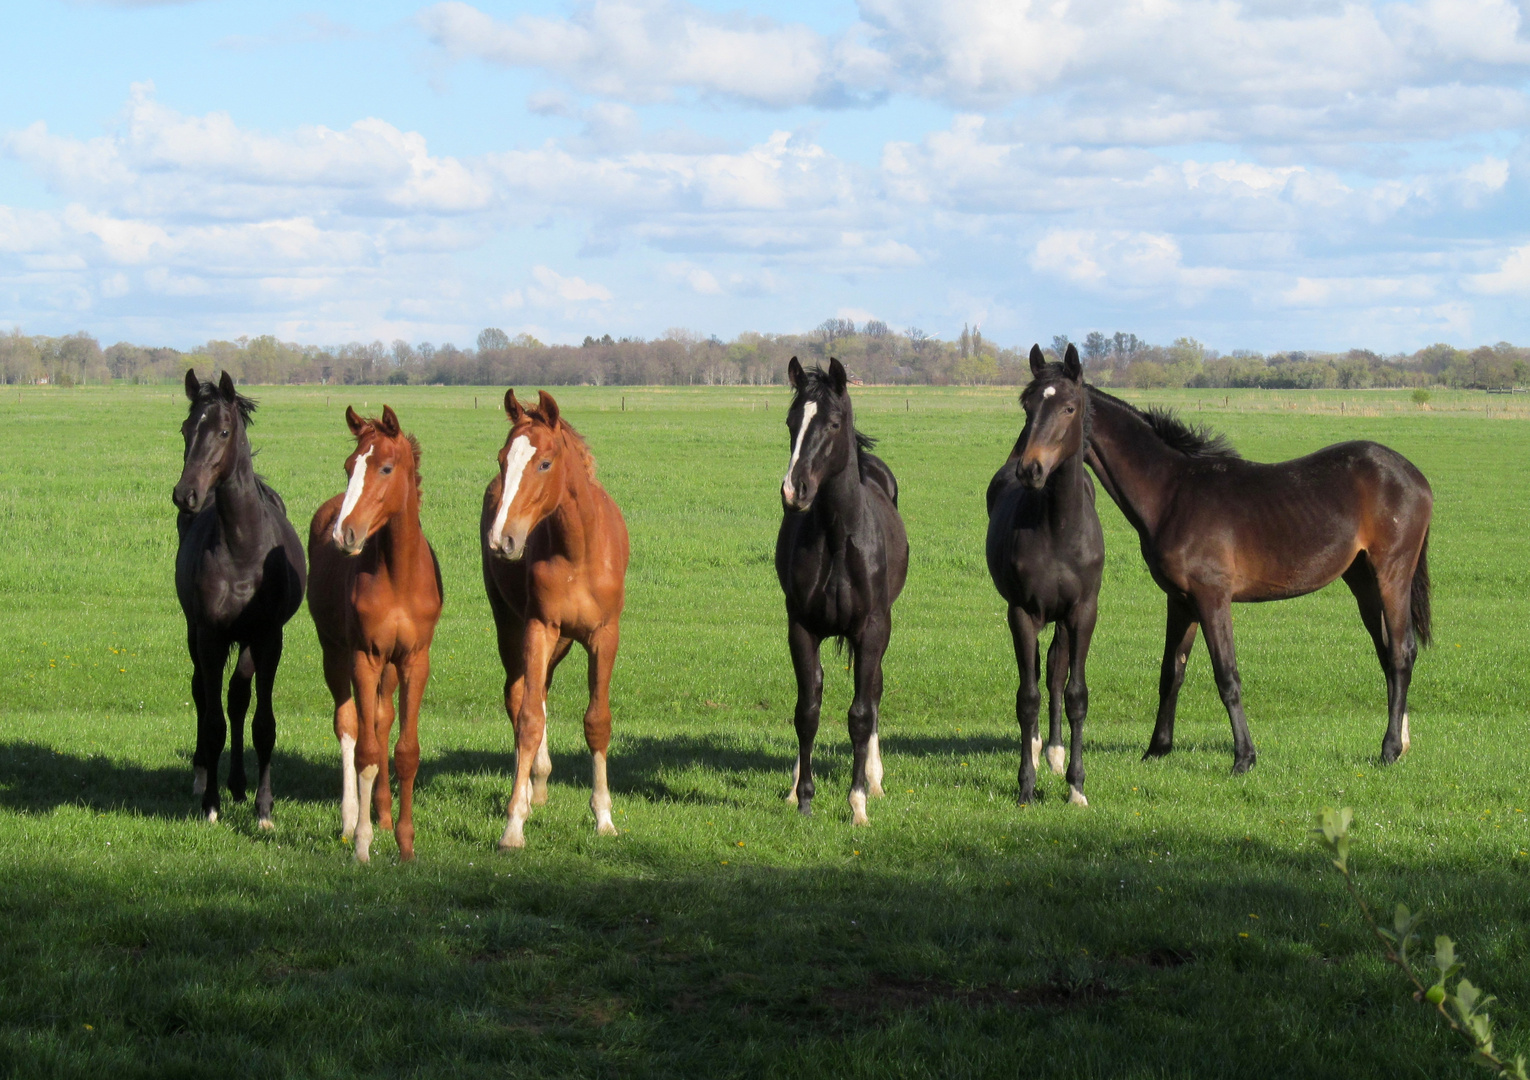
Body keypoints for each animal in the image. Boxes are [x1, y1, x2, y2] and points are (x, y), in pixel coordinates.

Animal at [173, 368, 307, 826]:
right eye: (185, 428)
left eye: (223, 431)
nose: (185, 495)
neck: (243, 548)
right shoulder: (211, 635)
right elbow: (213, 721)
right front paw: (210, 805)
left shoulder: (268, 637)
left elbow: (261, 722)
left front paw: (264, 808)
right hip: (195, 634)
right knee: (203, 693)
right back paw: (203, 778)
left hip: (247, 641)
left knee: (237, 697)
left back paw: (237, 783)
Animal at [301, 403, 440, 856]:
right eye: (349, 466)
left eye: (386, 467)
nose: (344, 533)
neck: (398, 575)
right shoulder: (364, 656)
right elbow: (364, 750)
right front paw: (362, 844)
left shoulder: (413, 660)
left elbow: (404, 751)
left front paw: (405, 844)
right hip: (335, 653)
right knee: (349, 725)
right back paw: (351, 819)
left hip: (390, 669)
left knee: (380, 720)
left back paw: (381, 813)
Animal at [474, 387, 624, 850]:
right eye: (502, 459)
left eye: (544, 463)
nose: (502, 539)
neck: (578, 551)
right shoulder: (538, 628)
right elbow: (528, 720)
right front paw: (513, 824)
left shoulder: (604, 635)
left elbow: (597, 721)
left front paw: (603, 817)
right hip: (512, 627)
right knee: (519, 694)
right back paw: (528, 789)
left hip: (561, 642)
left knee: (539, 690)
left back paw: (539, 784)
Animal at [777, 357, 905, 819]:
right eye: (791, 421)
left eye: (833, 423)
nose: (794, 490)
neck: (836, 536)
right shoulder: (802, 628)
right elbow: (807, 711)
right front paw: (804, 797)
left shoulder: (871, 630)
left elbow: (861, 713)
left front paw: (858, 802)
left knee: (875, 691)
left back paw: (875, 779)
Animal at [1083, 382, 1425, 770]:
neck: (1172, 492)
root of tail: (1413, 475)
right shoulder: (1181, 600)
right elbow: (1171, 672)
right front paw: (1156, 749)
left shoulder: (1212, 598)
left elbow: (1226, 676)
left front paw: (1244, 758)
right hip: (1363, 582)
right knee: (1386, 652)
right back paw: (1401, 741)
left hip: (1392, 575)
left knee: (1401, 652)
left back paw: (1390, 748)